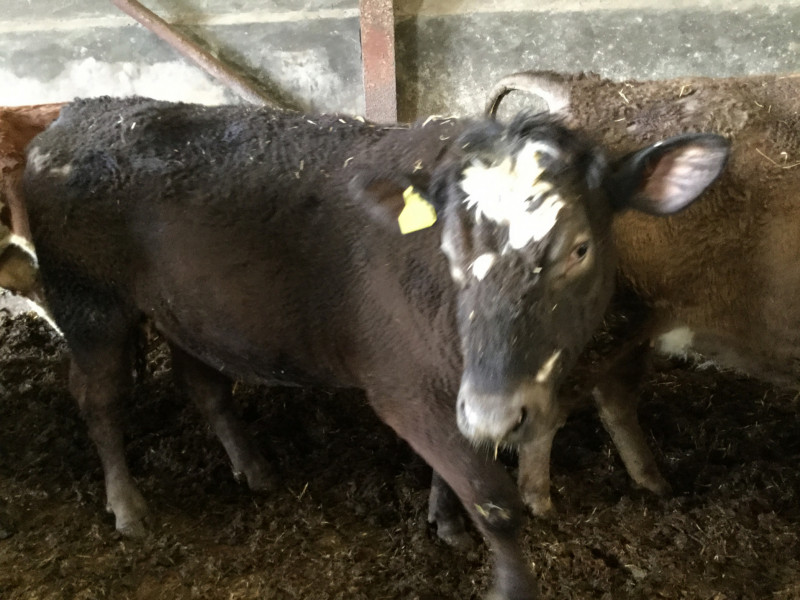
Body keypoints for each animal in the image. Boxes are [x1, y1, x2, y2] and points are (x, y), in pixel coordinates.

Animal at [22, 96, 727, 599]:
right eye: (449, 248)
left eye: (580, 248)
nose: (500, 411)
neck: (456, 350)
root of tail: (75, 115)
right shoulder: (403, 390)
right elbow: (494, 499)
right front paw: (507, 581)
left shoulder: (460, 393)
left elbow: (454, 468)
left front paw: (446, 524)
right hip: (90, 304)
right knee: (99, 401)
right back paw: (128, 507)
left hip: (186, 311)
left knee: (205, 386)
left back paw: (255, 470)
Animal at [481, 70, 800, 517]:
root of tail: (584, 88)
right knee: (551, 414)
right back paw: (544, 508)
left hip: (629, 327)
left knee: (613, 398)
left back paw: (656, 486)